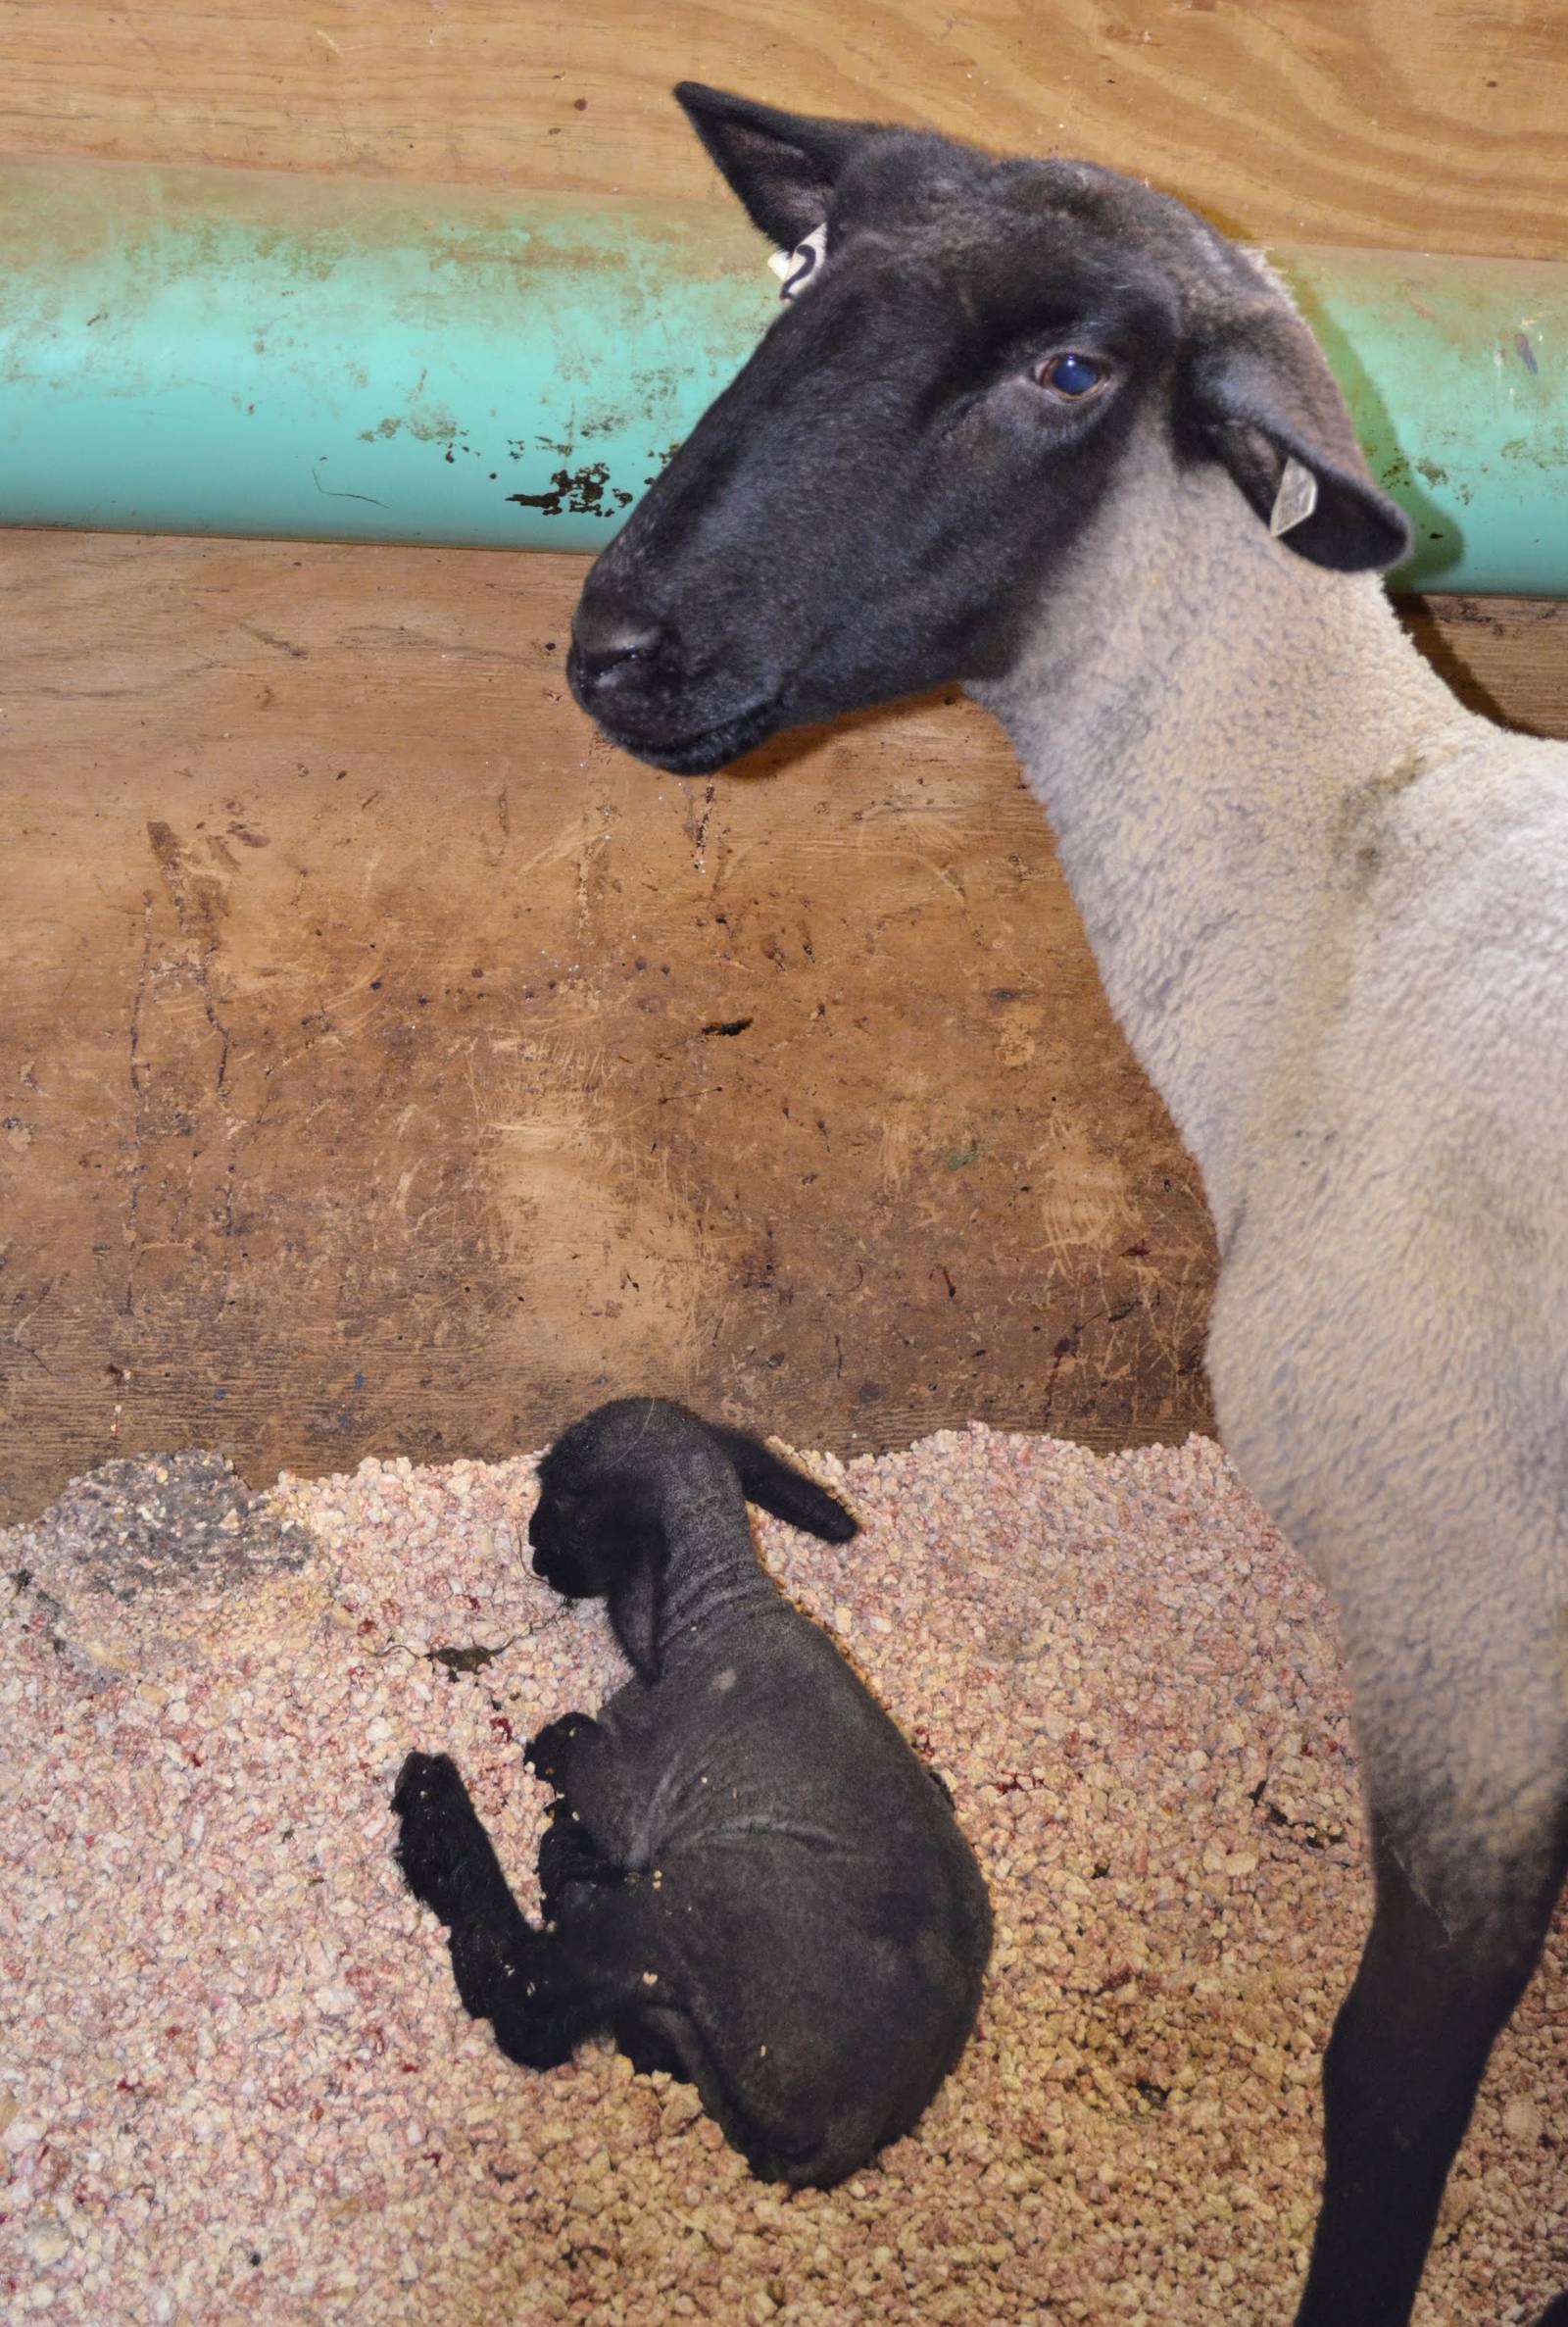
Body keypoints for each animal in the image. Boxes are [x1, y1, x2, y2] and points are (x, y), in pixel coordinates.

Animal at [392, 1397, 992, 2188]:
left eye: (559, 1502)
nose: (534, 1552)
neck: (721, 1605)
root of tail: (853, 2128)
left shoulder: (624, 1784)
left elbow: (568, 1750)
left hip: (681, 1909)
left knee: (527, 2009)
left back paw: (446, 1823)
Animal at [564, 84, 1568, 2326]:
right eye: (798, 266)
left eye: (1070, 374)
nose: (616, 650)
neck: (1334, 909)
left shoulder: (1463, 1624)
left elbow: (1390, 2078)